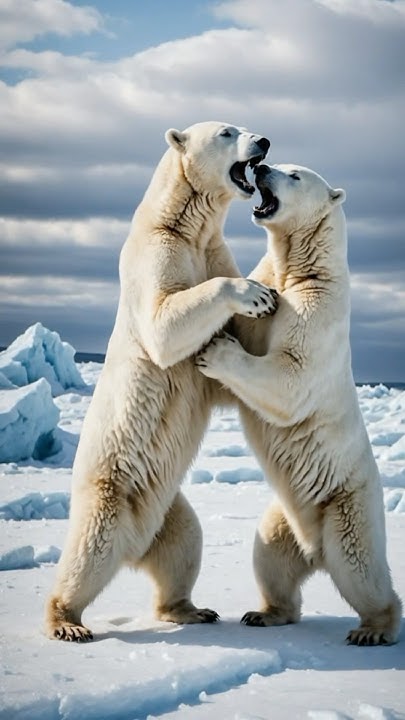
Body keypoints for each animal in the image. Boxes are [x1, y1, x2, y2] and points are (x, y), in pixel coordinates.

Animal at [44, 121, 278, 642]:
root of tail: (135, 547)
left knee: (184, 545)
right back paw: (67, 622)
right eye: (228, 131)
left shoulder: (211, 249)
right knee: (87, 553)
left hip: (166, 506)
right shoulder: (158, 252)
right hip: (111, 493)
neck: (182, 223)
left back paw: (192, 609)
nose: (264, 141)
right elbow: (165, 324)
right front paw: (254, 293)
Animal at [196, 162, 402, 645]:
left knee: (360, 568)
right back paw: (264, 613)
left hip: (346, 507)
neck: (302, 270)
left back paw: (373, 628)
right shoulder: (274, 287)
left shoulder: (316, 311)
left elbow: (289, 378)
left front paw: (216, 352)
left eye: (293, 175)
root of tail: (315, 550)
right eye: (278, 165)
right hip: (285, 516)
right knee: (269, 555)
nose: (261, 166)